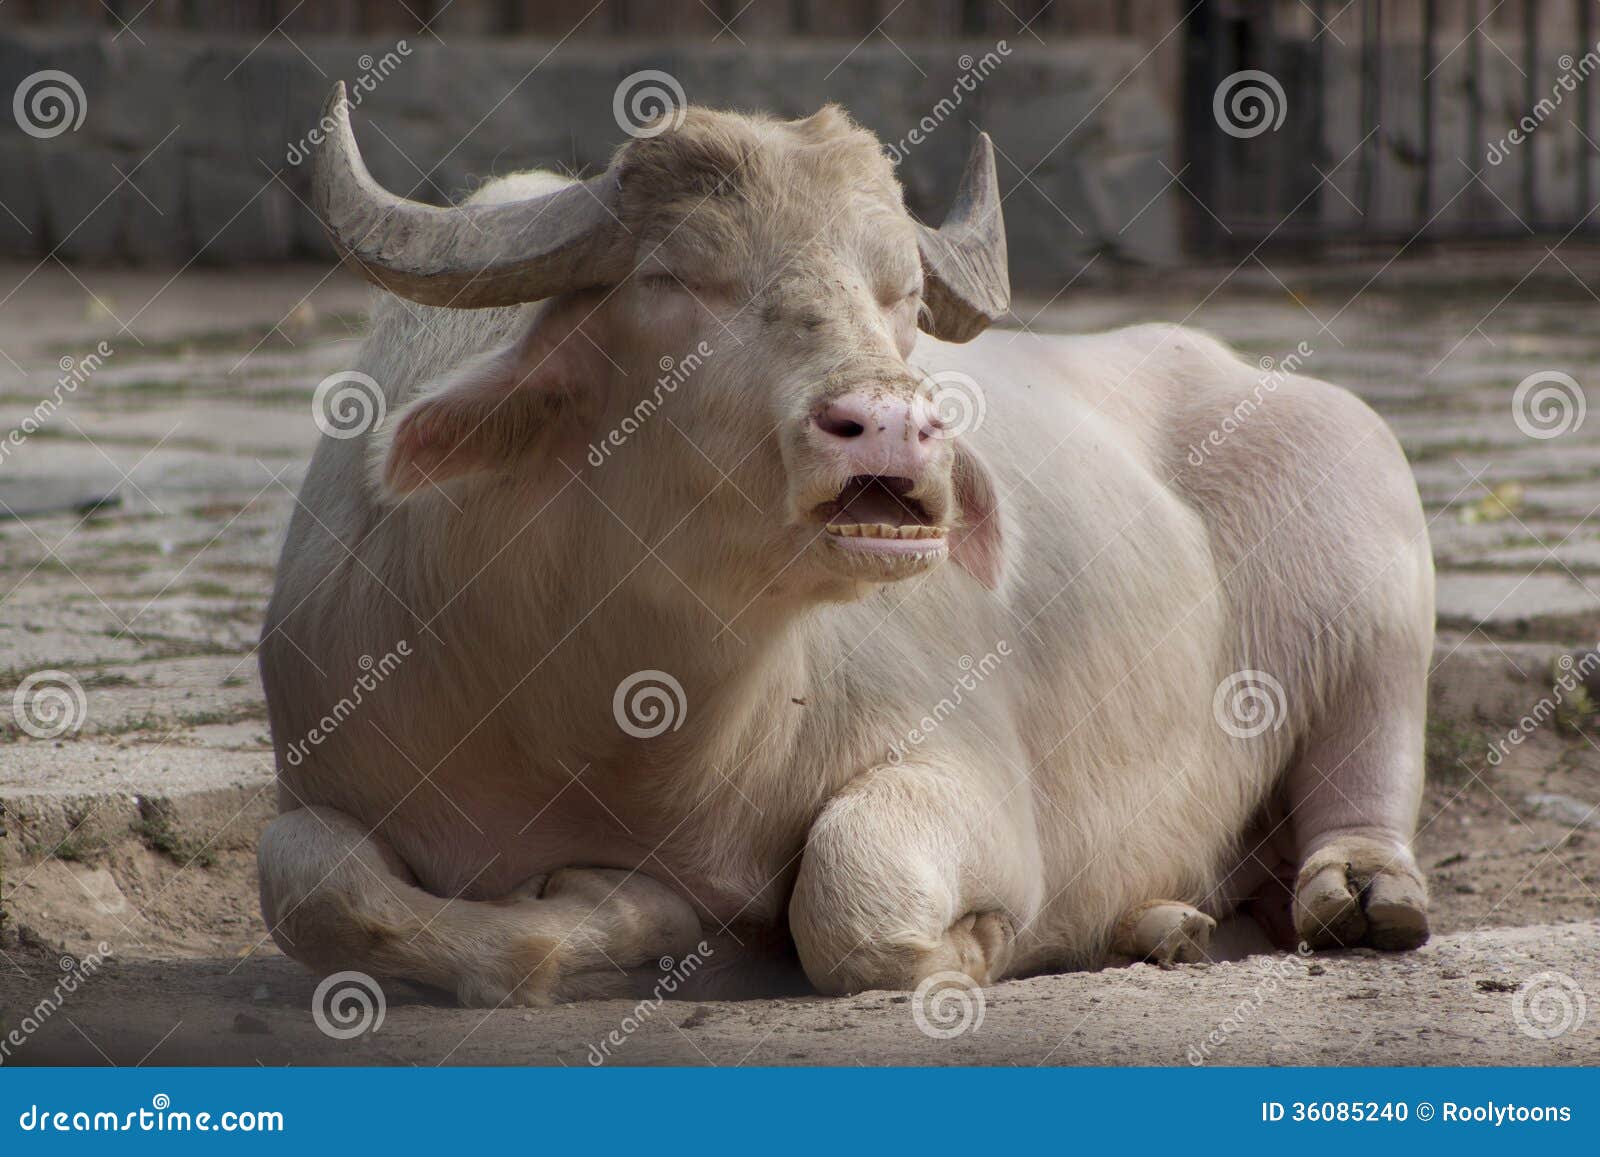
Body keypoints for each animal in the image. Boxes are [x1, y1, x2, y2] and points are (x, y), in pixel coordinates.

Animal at [256, 83, 1433, 1007]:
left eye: (900, 294)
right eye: (675, 280)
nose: (893, 426)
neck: (627, 734)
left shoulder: (973, 778)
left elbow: (847, 888)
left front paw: (968, 944)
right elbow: (308, 879)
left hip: (1375, 573)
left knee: (1368, 761)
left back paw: (1363, 895)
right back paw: (1159, 924)